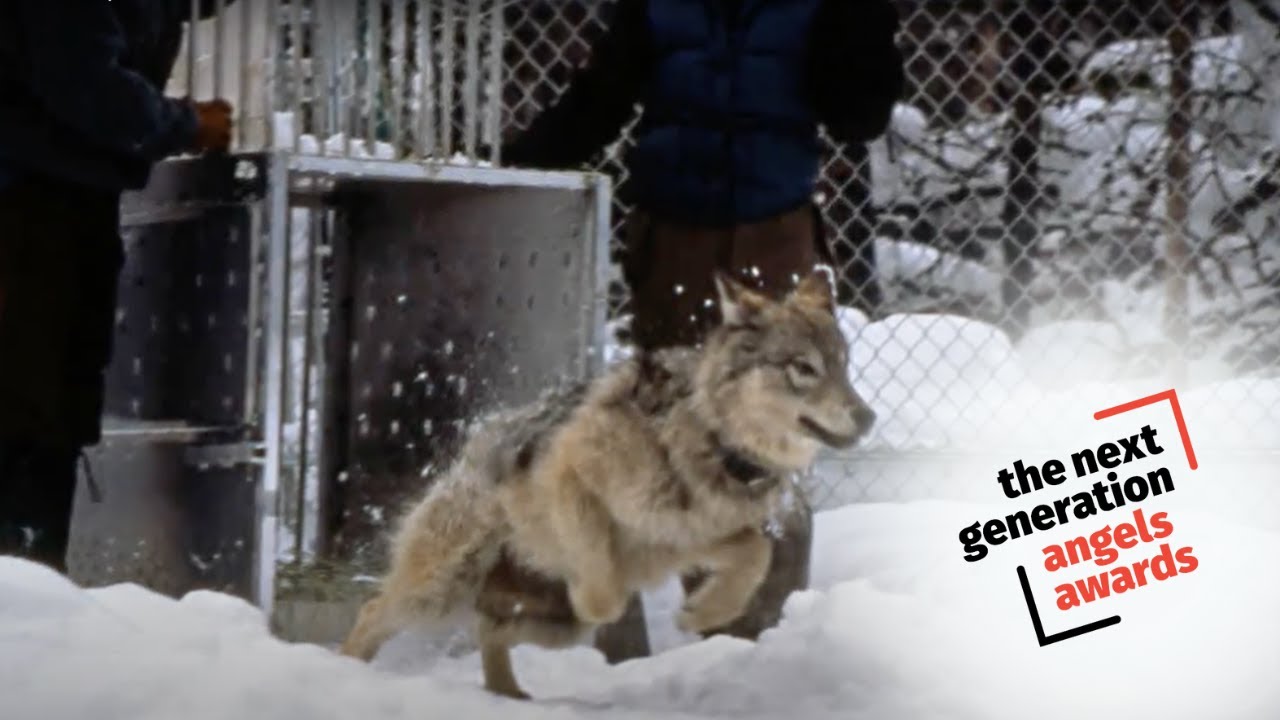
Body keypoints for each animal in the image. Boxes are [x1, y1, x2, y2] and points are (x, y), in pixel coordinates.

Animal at [339, 269, 877, 699]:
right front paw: (605, 592)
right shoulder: (570, 481)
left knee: (491, 631)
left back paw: (509, 696)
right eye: (803, 368)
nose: (868, 417)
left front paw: (701, 614)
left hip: (551, 626)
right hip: (441, 589)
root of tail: (475, 446)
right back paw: (343, 673)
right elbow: (606, 592)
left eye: (843, 366)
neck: (710, 442)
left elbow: (755, 554)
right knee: (372, 612)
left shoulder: (684, 541)